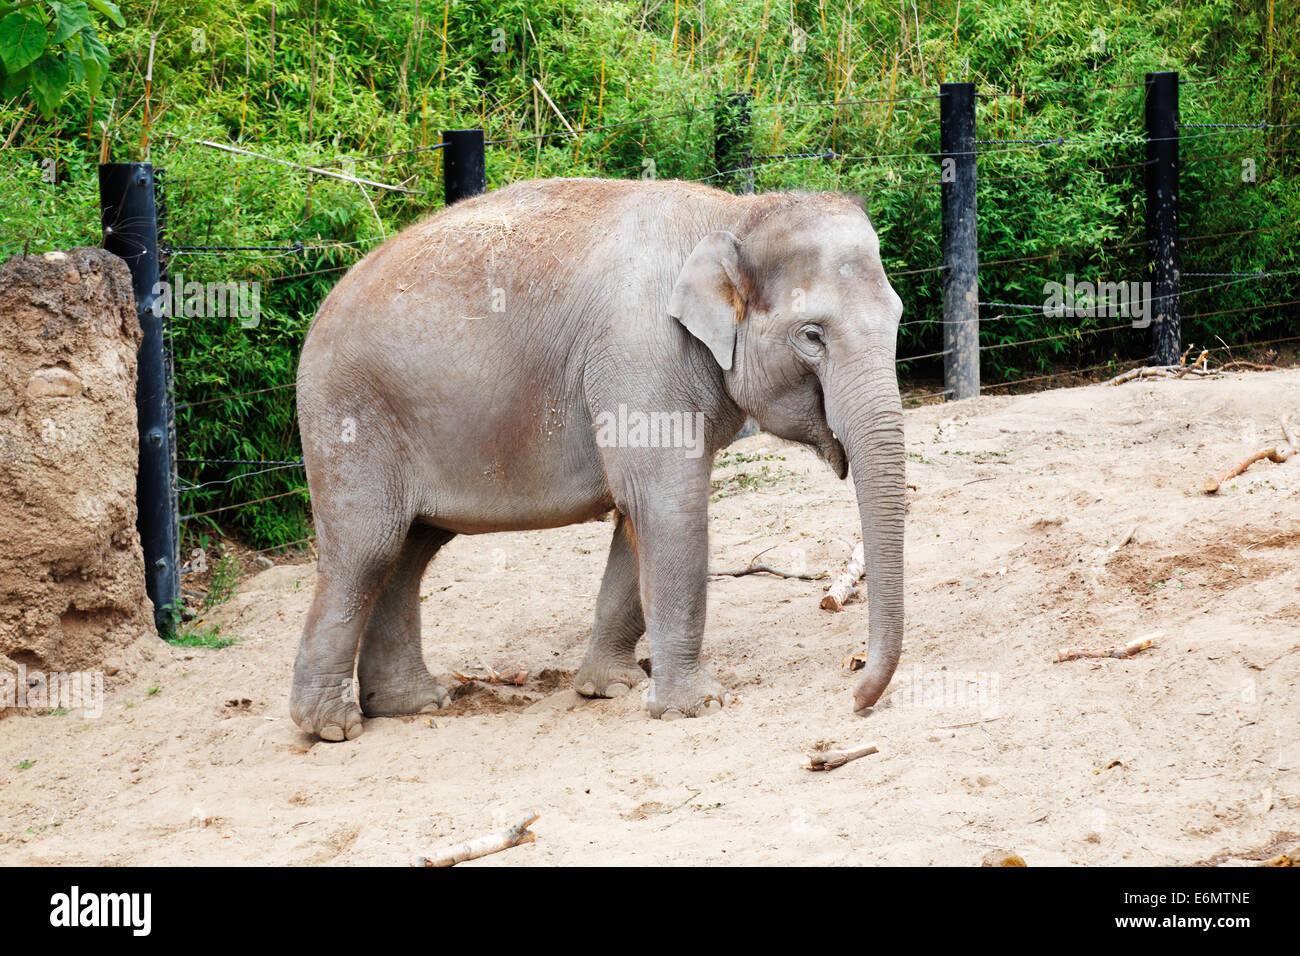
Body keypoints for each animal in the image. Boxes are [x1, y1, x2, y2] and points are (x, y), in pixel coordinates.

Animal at [290, 177, 905, 741]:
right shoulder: (642, 355)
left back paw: (414, 704)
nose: (854, 696)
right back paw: (331, 727)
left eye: (898, 317)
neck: (734, 214)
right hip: (348, 425)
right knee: (367, 550)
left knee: (408, 551)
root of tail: (317, 317)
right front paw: (698, 707)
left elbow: (639, 514)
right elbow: (668, 505)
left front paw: (611, 688)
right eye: (812, 335)